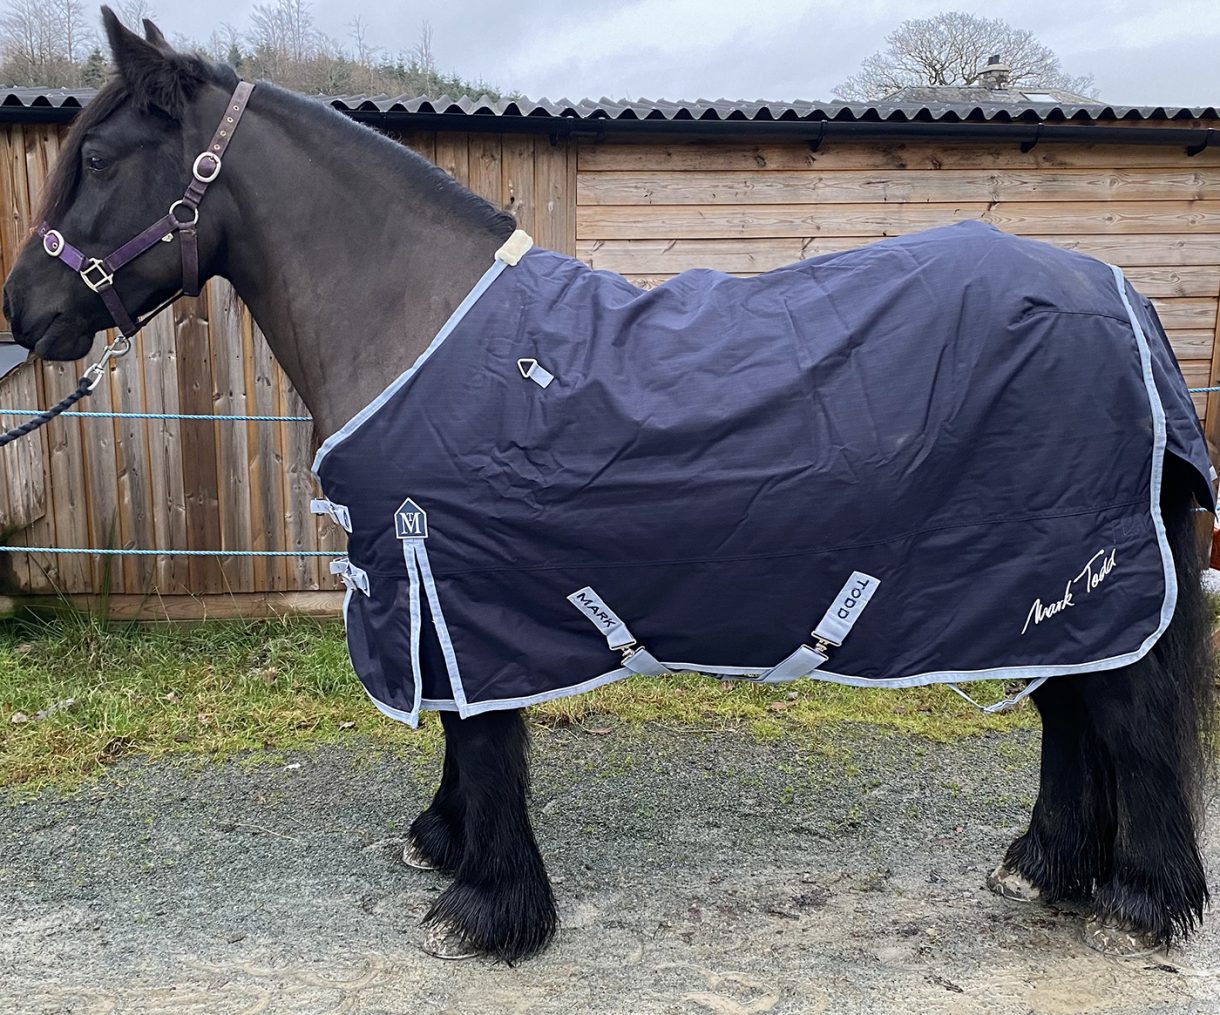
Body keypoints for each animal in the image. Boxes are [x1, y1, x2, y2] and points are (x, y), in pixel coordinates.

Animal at [3, 9, 1214, 963]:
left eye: (100, 156)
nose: (23, 310)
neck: (419, 325)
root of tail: (1121, 300)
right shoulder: (442, 582)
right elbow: (460, 728)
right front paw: (443, 845)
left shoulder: (456, 572)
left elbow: (484, 736)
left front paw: (487, 909)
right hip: (1028, 589)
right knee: (1070, 705)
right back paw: (1045, 865)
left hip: (1067, 568)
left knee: (1123, 712)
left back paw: (1139, 897)